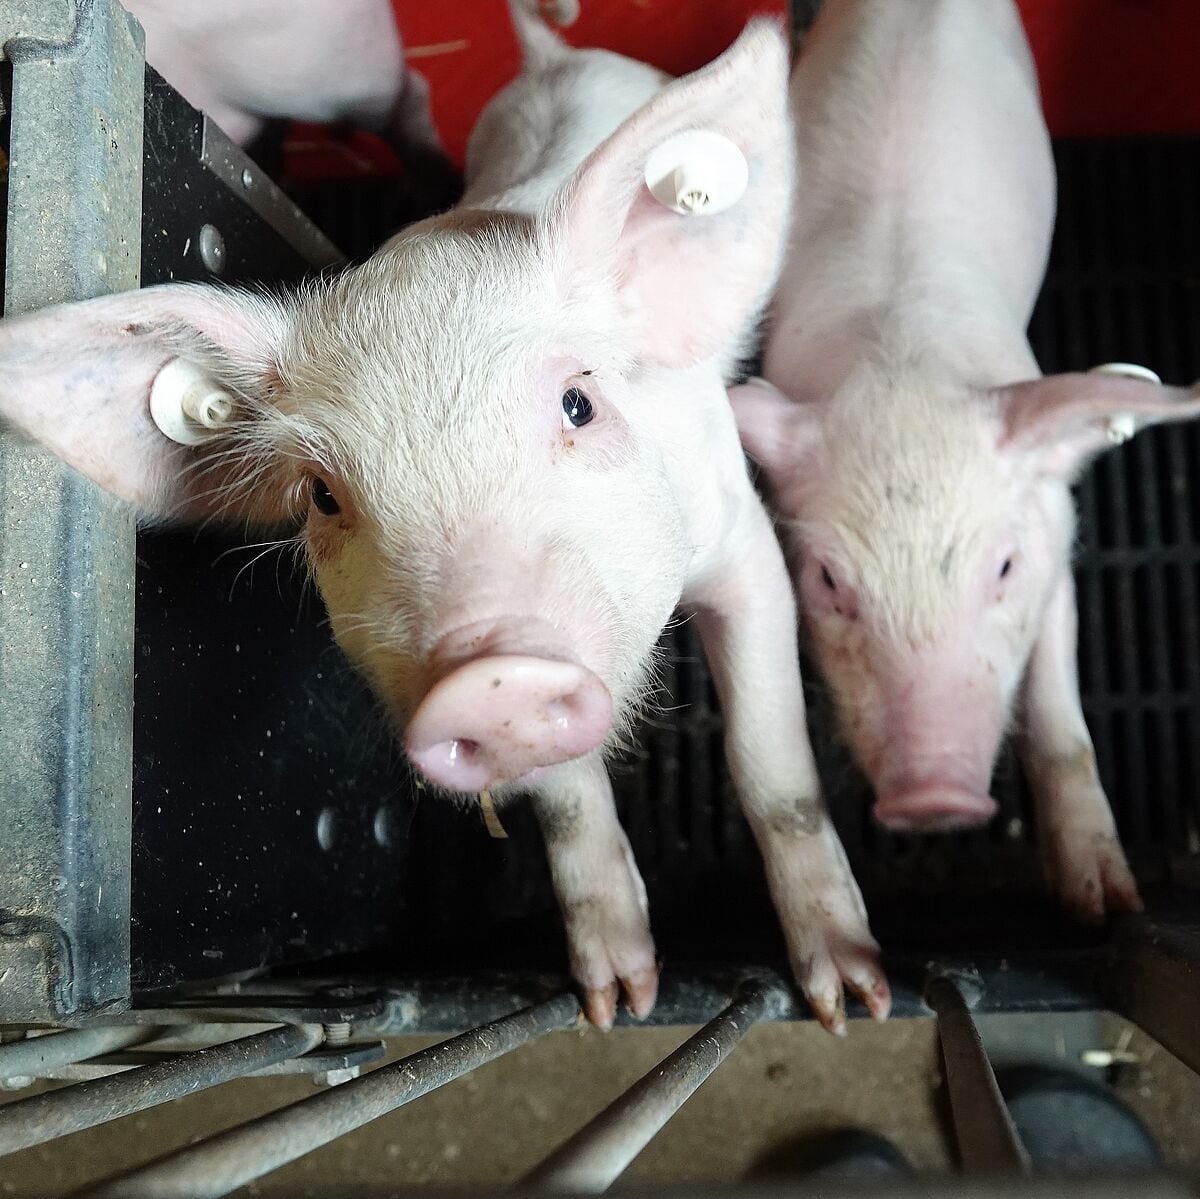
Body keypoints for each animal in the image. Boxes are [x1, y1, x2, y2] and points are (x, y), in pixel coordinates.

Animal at [0, 1, 890, 1032]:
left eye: (580, 403)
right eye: (323, 494)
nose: (488, 678)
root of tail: (552, 57)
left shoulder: (741, 539)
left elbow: (771, 762)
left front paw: (848, 998)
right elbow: (565, 800)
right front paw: (614, 1000)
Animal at [731, 0, 1200, 921]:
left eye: (1006, 567)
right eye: (830, 582)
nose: (932, 797)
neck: (902, 367)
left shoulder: (1058, 529)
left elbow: (1060, 719)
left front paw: (1107, 904)